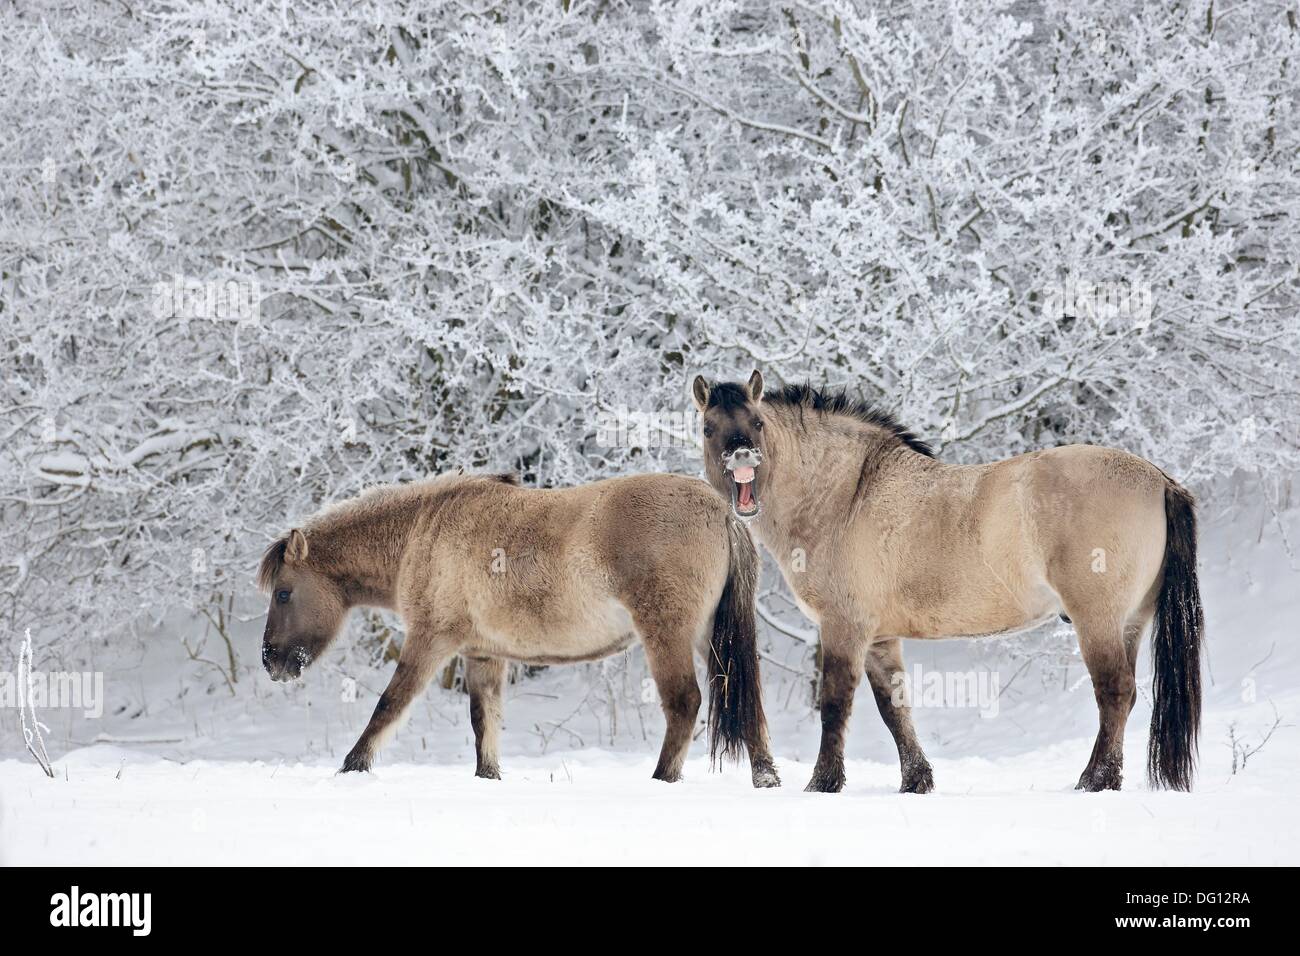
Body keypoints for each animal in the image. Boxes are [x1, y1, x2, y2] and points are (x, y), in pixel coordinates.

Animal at [257, 471, 780, 787]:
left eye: (283, 593)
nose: (271, 662)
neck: (422, 531)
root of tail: (722, 511)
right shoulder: (482, 653)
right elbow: (483, 723)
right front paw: (488, 779)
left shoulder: (430, 641)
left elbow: (389, 706)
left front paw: (352, 767)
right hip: (710, 637)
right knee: (749, 701)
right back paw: (766, 779)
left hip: (668, 635)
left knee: (684, 703)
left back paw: (662, 779)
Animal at [691, 370, 1203, 794]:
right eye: (707, 427)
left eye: (758, 422)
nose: (742, 459)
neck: (849, 495)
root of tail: (1158, 479)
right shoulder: (879, 637)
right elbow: (894, 707)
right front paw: (916, 780)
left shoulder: (843, 627)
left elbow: (835, 704)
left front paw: (822, 783)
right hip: (1130, 622)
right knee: (1125, 696)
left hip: (1096, 620)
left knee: (1114, 692)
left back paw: (1095, 782)